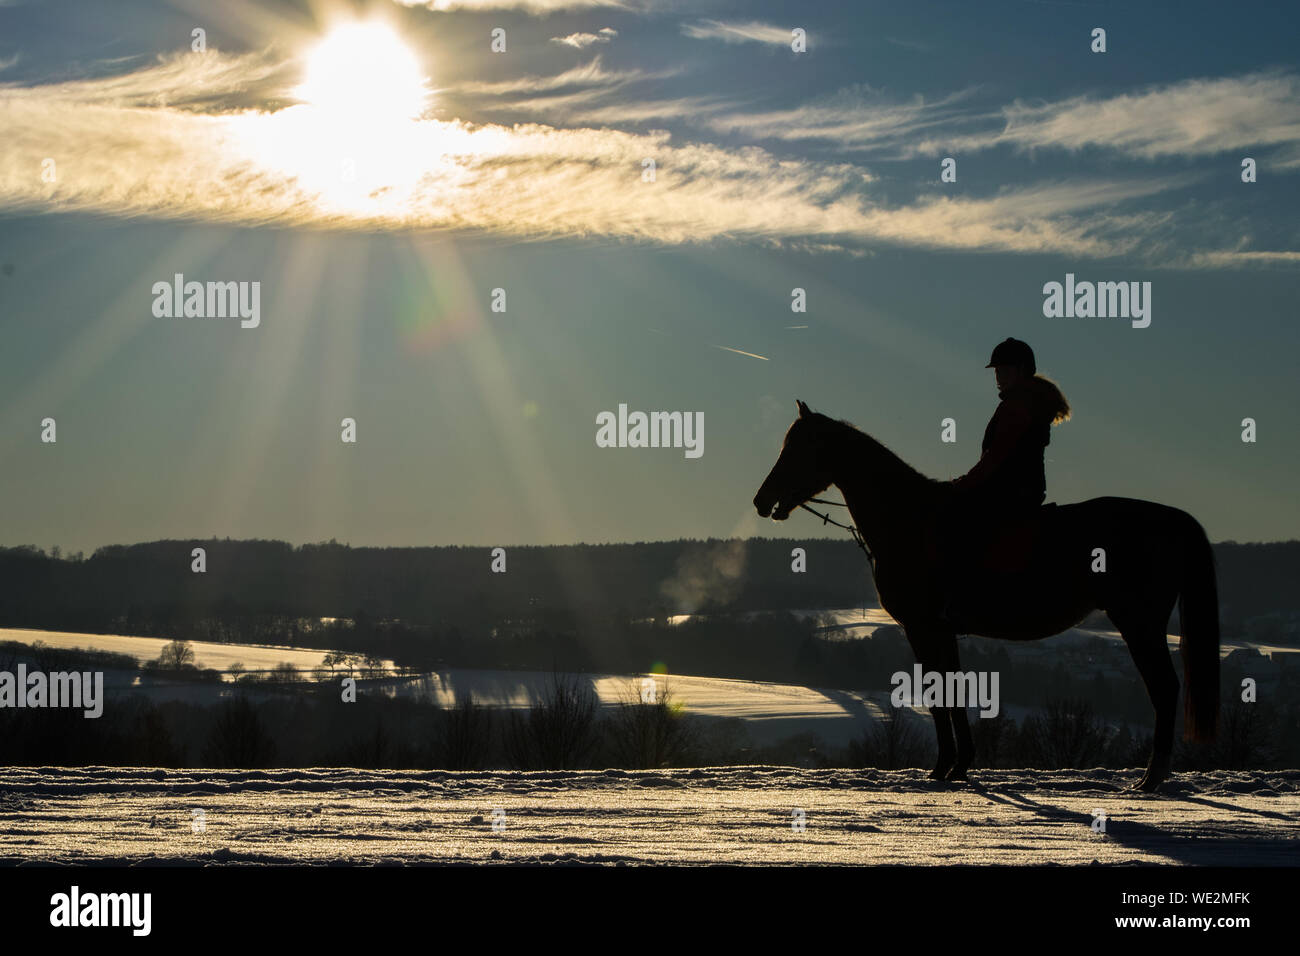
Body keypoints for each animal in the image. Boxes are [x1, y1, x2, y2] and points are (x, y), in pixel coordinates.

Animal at [753, 401, 1219, 791]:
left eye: (799, 448)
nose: (762, 500)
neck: (909, 520)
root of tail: (1172, 519)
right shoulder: (941, 631)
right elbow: (952, 689)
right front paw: (959, 765)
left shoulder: (923, 627)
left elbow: (937, 691)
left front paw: (943, 767)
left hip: (1139, 623)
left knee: (1165, 688)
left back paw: (1151, 778)